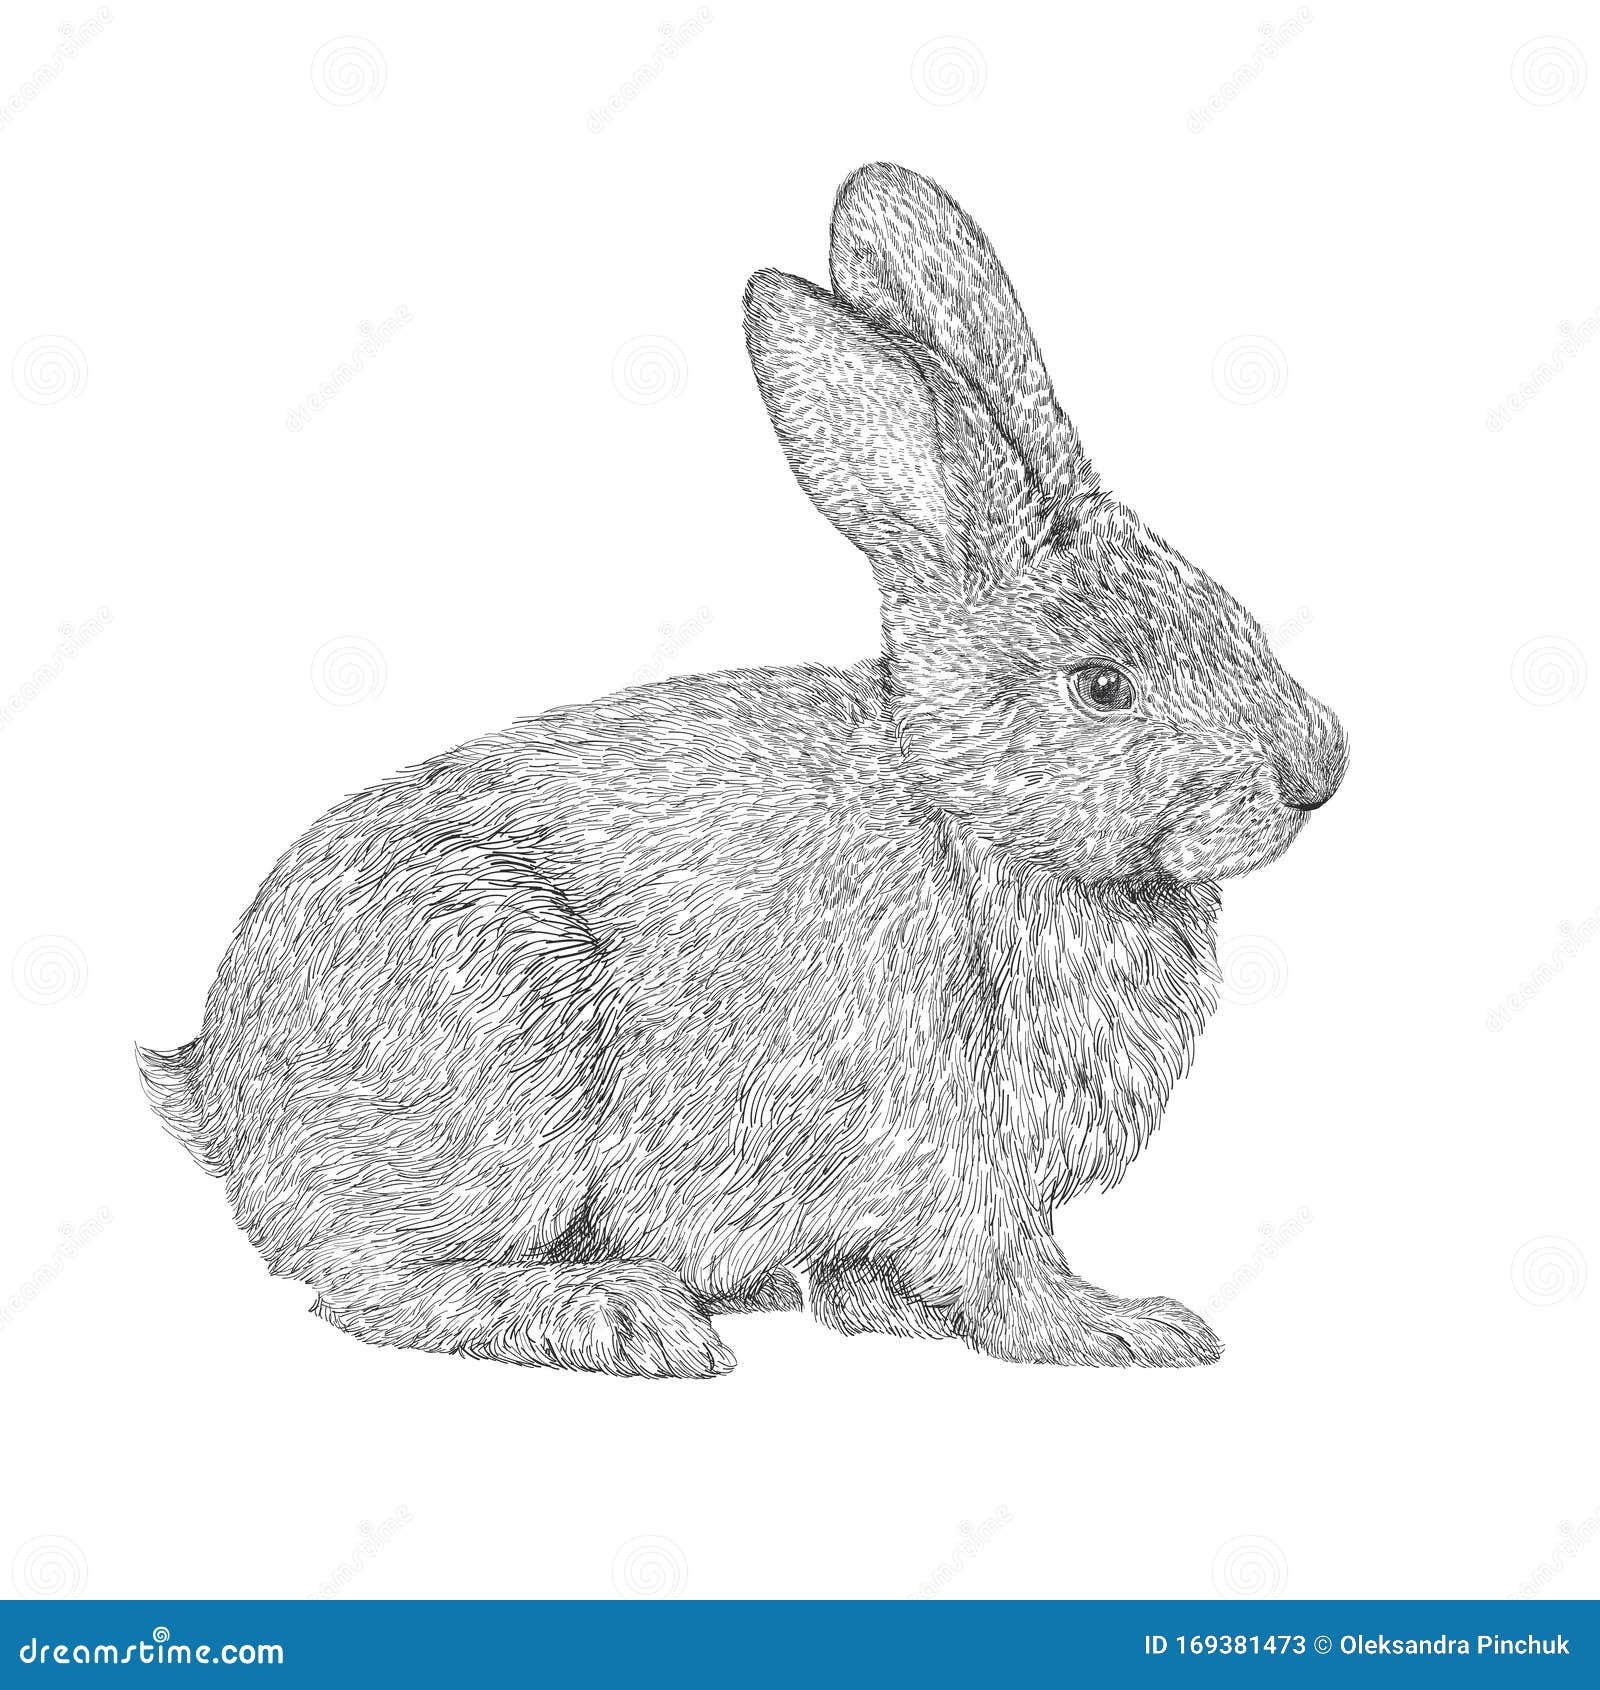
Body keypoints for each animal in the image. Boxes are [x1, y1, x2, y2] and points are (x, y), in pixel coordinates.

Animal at [138, 163, 1346, 1378]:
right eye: (1102, 686)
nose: (1317, 770)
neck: (980, 827)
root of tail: (221, 1088)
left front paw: (882, 1308)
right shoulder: (963, 1155)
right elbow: (1006, 1274)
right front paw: (1127, 1328)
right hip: (502, 1043)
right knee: (377, 1281)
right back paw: (623, 1316)